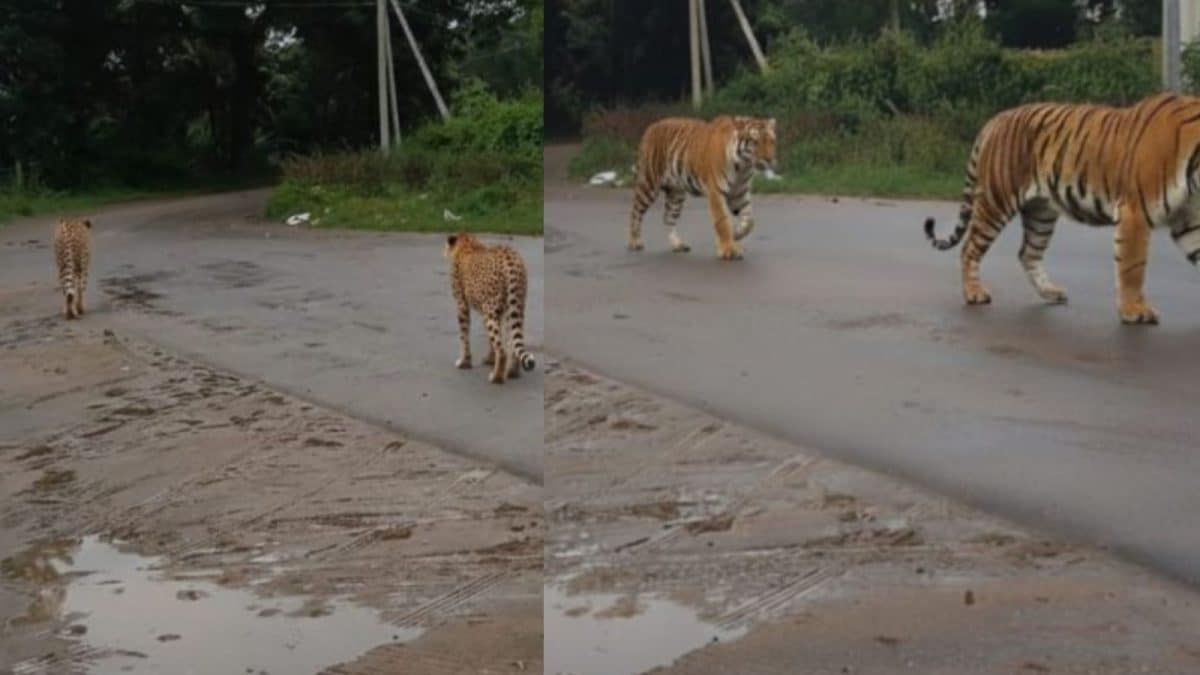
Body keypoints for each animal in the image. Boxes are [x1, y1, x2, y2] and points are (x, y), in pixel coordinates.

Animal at [444, 232, 536, 384]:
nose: (444, 250)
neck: (468, 245)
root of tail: (510, 256)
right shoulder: (497, 312)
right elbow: (490, 340)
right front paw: (489, 359)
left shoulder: (462, 305)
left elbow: (464, 336)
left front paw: (464, 362)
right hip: (515, 308)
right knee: (512, 341)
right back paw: (512, 371)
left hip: (492, 312)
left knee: (502, 350)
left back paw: (496, 377)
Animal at [628, 115, 777, 260]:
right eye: (755, 142)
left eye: (771, 141)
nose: (769, 159)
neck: (743, 167)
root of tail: (651, 127)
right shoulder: (716, 192)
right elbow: (722, 221)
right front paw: (728, 249)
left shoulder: (739, 193)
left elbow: (750, 221)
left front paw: (736, 234)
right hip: (649, 185)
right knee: (635, 212)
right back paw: (634, 242)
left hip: (676, 194)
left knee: (668, 218)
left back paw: (678, 245)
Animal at [924, 92, 1200, 325]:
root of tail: (995, 120)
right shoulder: (1135, 215)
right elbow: (1133, 267)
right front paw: (1134, 311)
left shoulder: (1188, 220)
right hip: (995, 201)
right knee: (969, 248)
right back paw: (974, 293)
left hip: (1041, 213)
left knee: (1027, 253)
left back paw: (1051, 292)